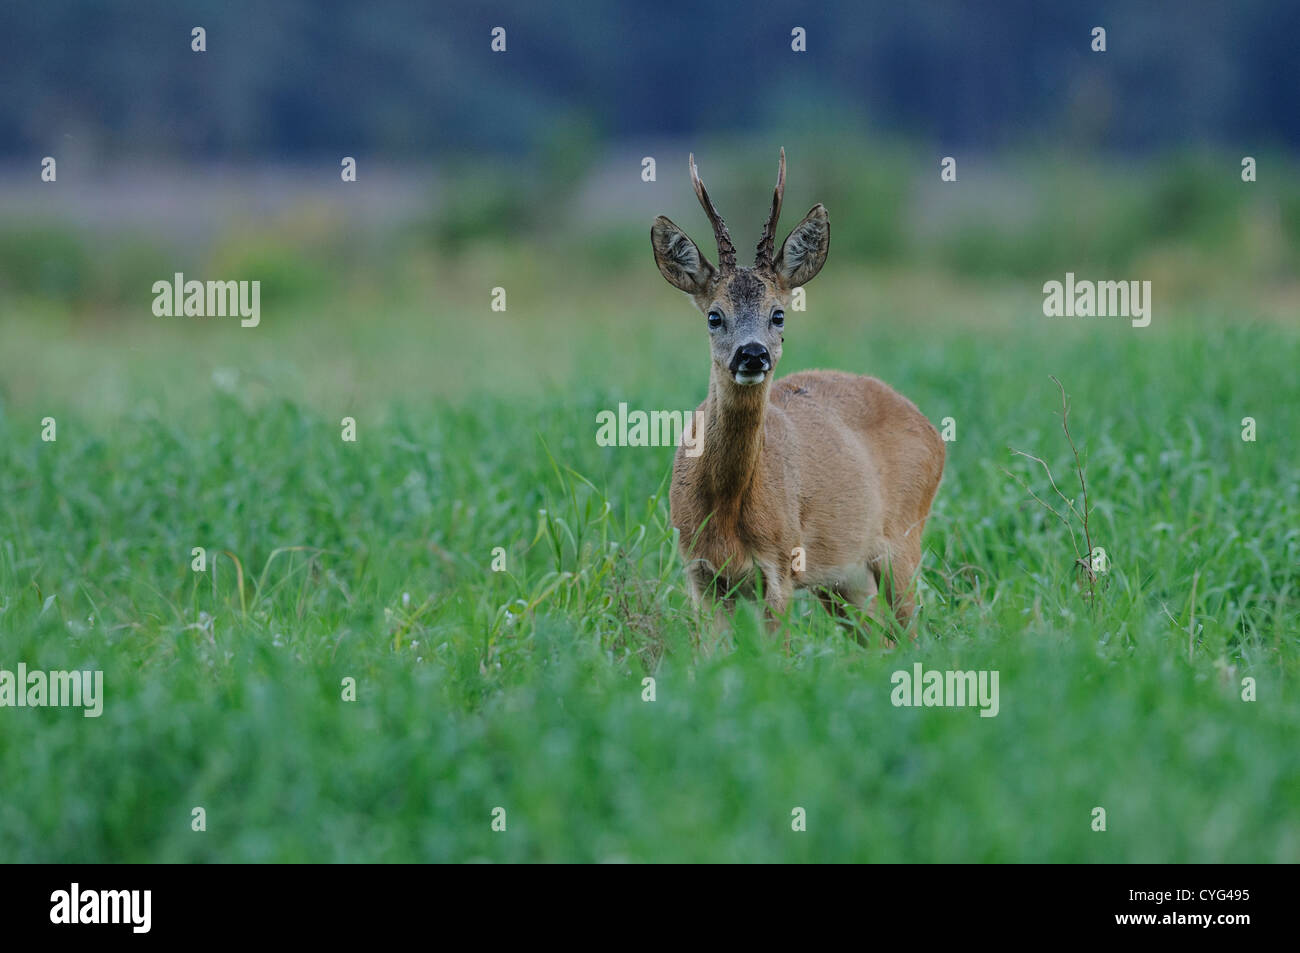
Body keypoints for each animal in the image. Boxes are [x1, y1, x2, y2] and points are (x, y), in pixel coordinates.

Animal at [650, 149, 945, 641]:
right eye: (714, 316)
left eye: (779, 314)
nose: (753, 354)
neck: (727, 506)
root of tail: (931, 430)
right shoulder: (700, 573)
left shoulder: (781, 565)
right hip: (844, 579)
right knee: (878, 637)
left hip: (904, 539)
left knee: (912, 631)